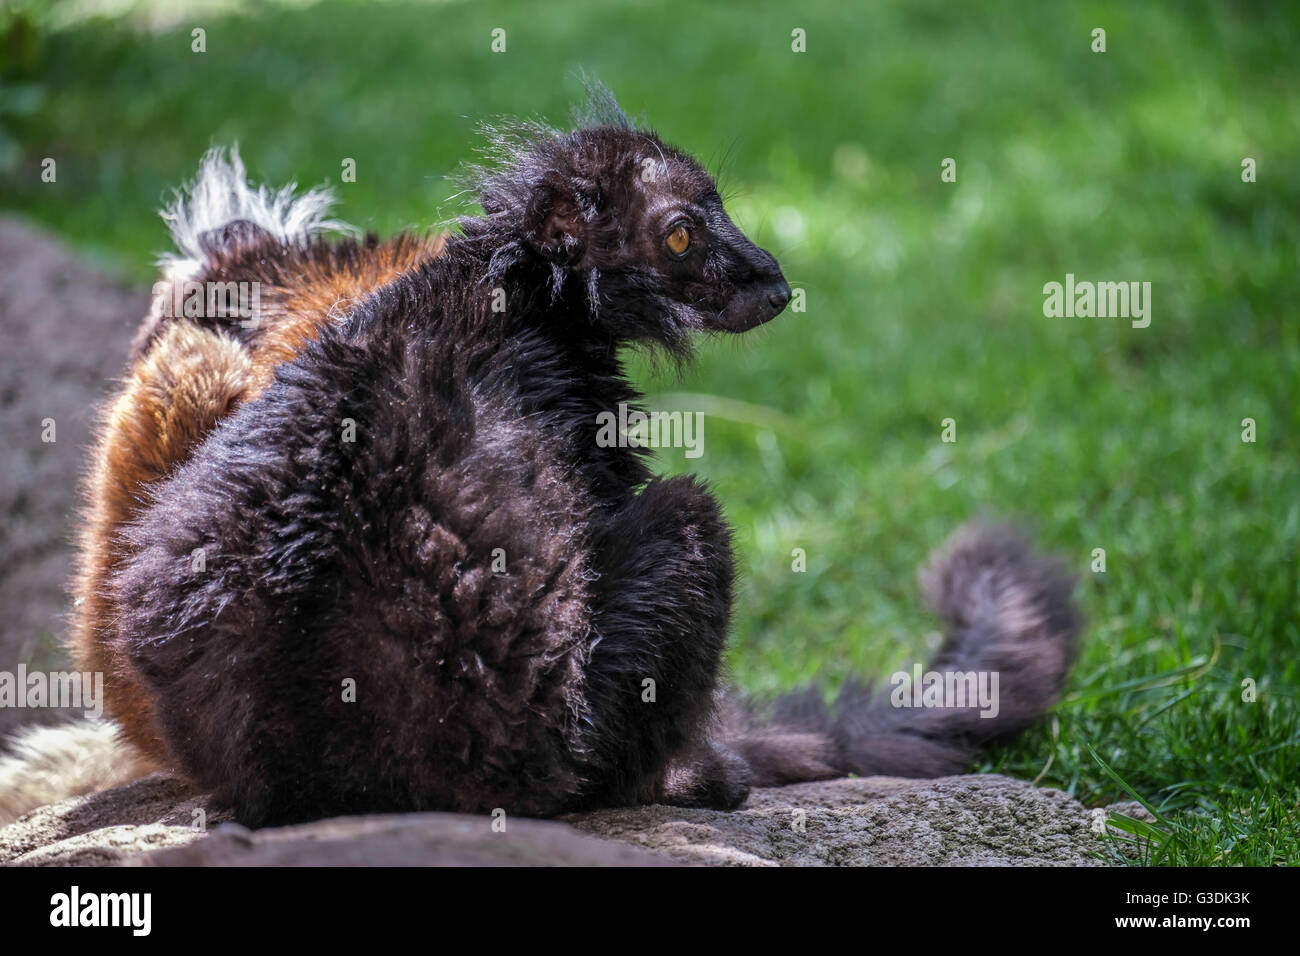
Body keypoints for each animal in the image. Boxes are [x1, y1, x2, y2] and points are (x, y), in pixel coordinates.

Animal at [0, 88, 1081, 828]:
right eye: (681, 234)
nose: (771, 278)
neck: (523, 278)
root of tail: (383, 777)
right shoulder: (571, 394)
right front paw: (697, 765)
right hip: (558, 741)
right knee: (689, 522)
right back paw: (666, 777)